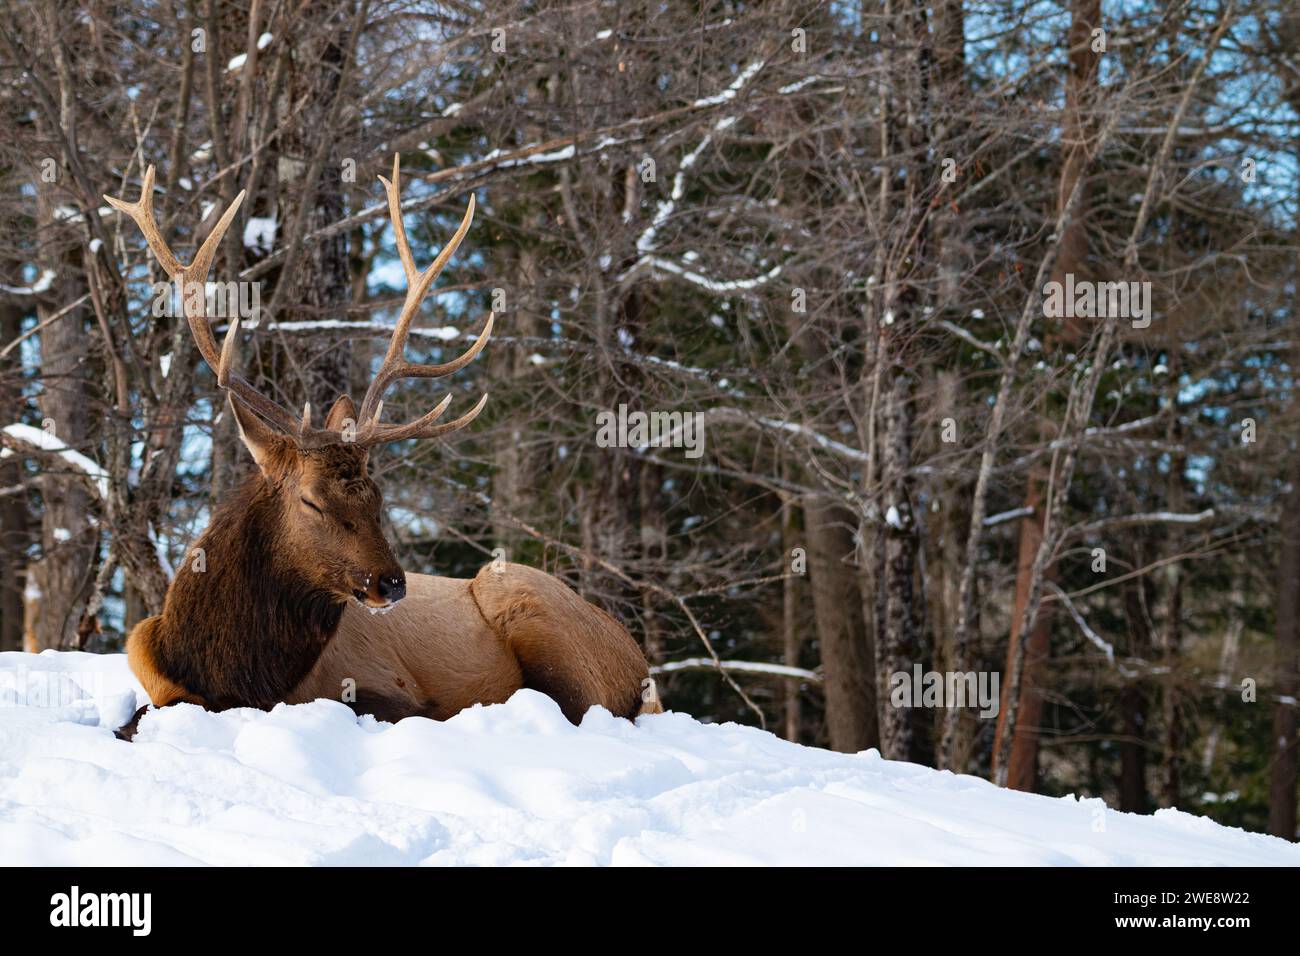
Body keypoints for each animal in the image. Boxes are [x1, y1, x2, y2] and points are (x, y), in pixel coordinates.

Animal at [107, 156, 661, 739]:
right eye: (311, 500)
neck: (225, 671)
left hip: (534, 611)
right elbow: (133, 716)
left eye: (377, 498)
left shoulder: (373, 685)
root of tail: (639, 665)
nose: (392, 584)